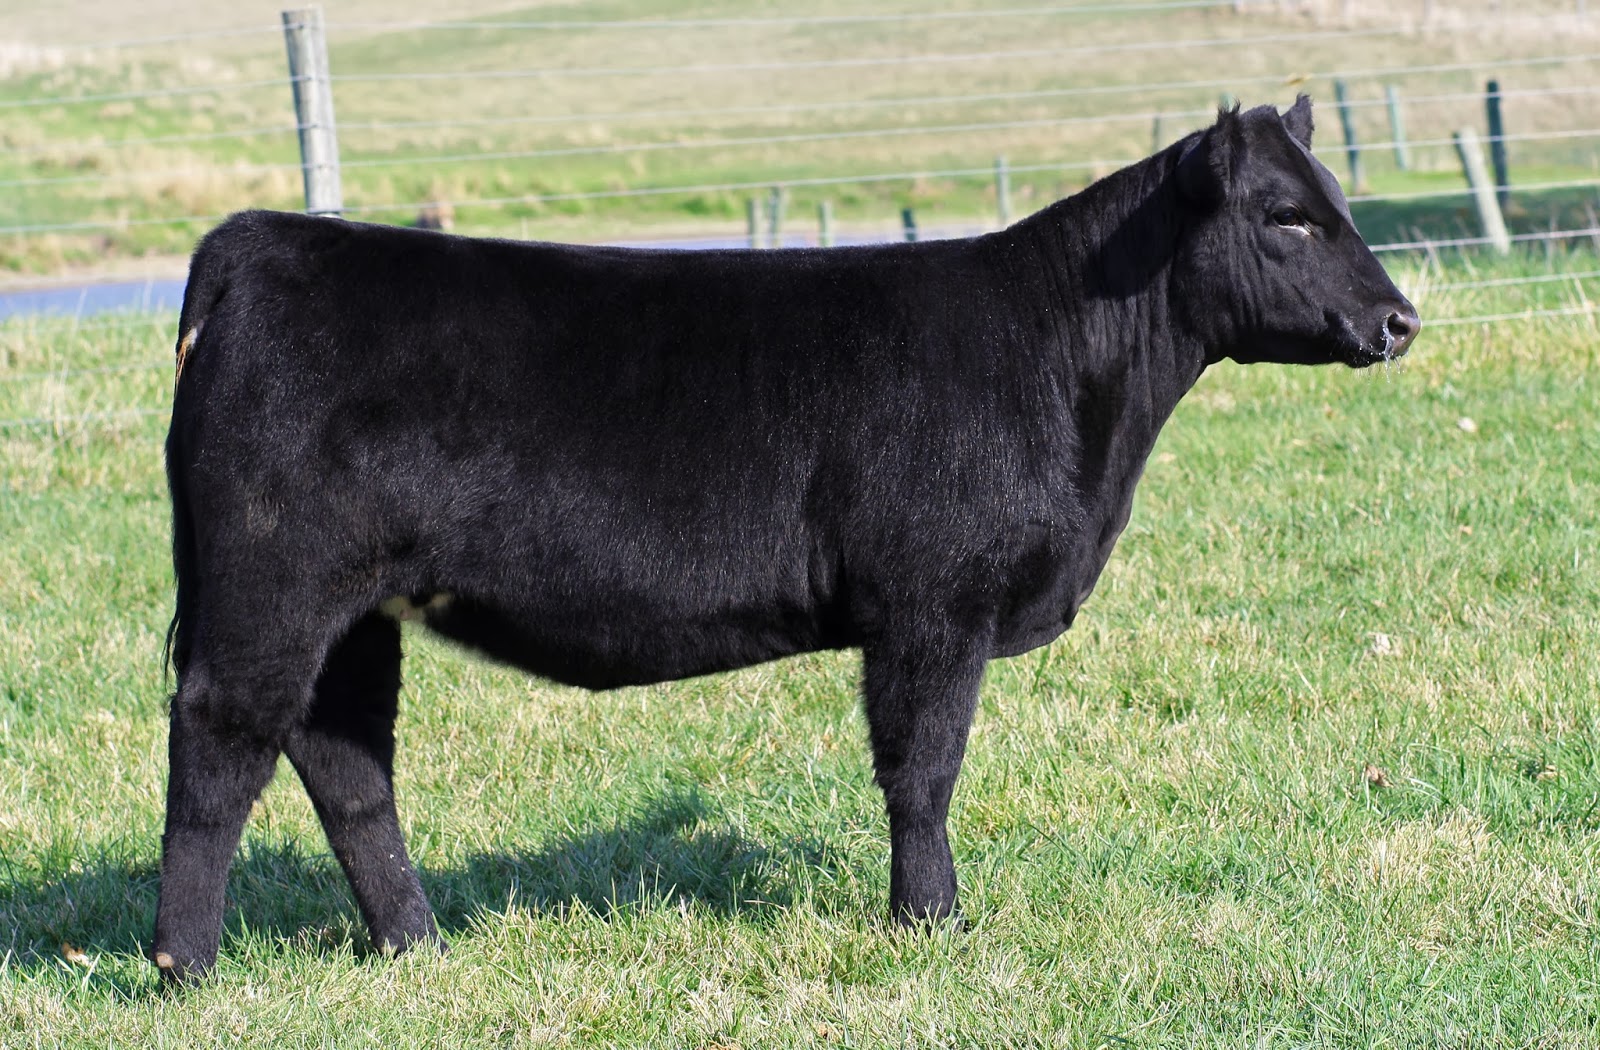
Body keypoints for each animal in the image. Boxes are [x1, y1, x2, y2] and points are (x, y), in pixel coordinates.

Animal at [152, 96, 1418, 981]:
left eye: (1337, 205)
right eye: (1287, 216)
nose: (1398, 319)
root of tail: (260, 242)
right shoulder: (932, 607)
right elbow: (923, 770)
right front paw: (931, 924)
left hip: (357, 609)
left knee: (344, 758)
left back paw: (415, 944)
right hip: (277, 580)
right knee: (221, 736)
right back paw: (186, 968)